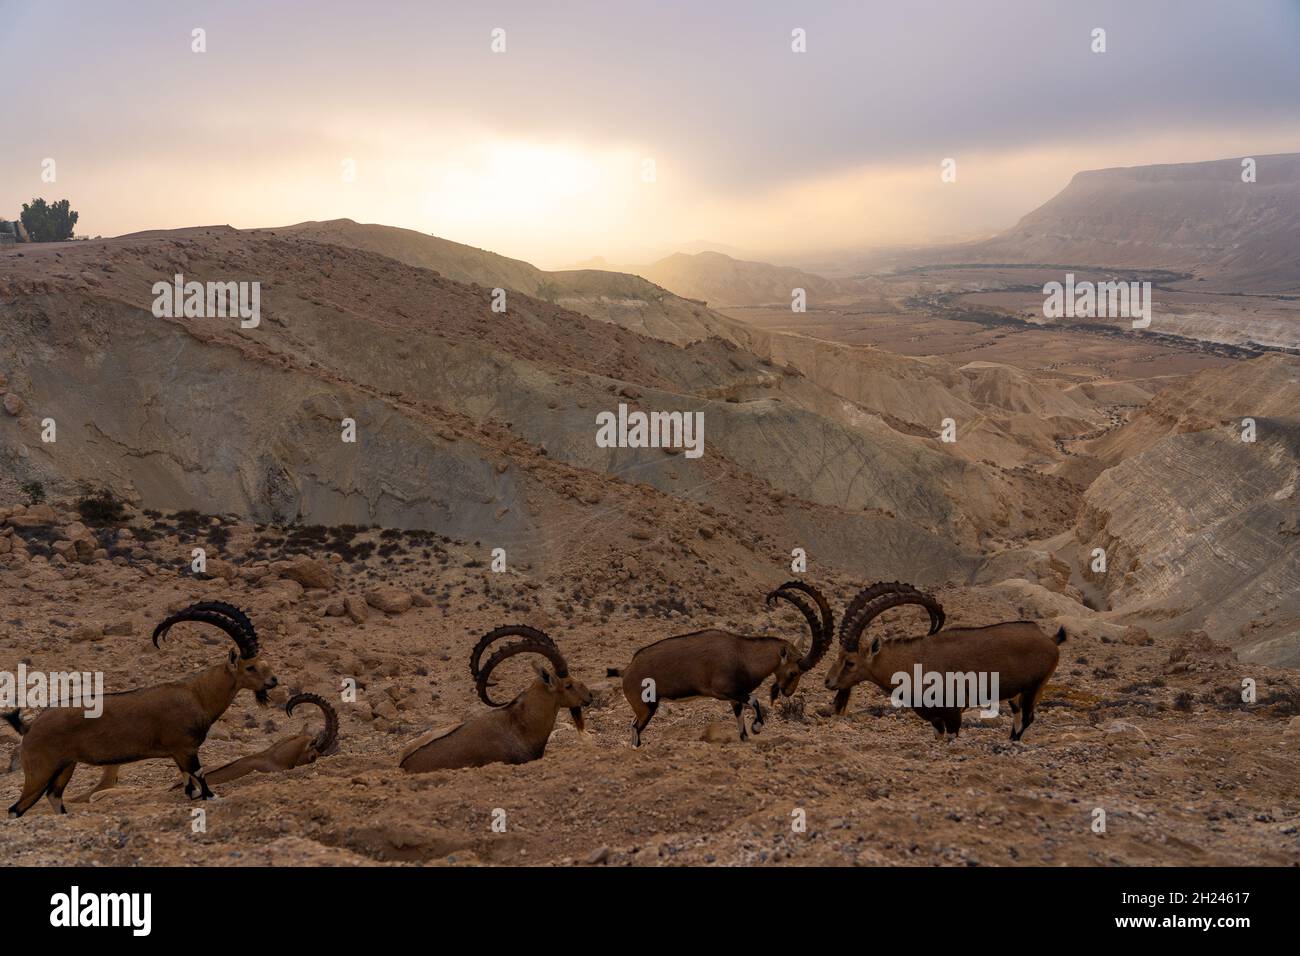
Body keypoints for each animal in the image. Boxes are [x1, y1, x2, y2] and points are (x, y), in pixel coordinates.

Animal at [5, 602, 278, 817]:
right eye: (250, 667)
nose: (273, 681)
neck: (197, 694)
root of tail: (29, 727)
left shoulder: (178, 753)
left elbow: (187, 781)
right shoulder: (185, 747)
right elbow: (198, 773)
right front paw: (212, 796)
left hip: (65, 768)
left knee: (54, 796)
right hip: (40, 770)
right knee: (16, 808)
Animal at [614, 581, 833, 747]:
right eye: (793, 672)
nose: (788, 692)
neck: (742, 654)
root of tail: (627, 670)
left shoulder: (734, 697)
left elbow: (740, 719)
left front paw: (746, 736)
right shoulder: (723, 690)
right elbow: (754, 699)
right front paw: (757, 727)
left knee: (633, 725)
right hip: (646, 706)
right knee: (635, 727)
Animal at [823, 582, 1065, 740]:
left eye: (850, 662)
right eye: (838, 656)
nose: (828, 682)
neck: (912, 664)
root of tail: (1049, 639)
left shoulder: (953, 712)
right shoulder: (934, 718)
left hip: (1034, 687)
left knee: (1028, 718)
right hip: (1016, 694)